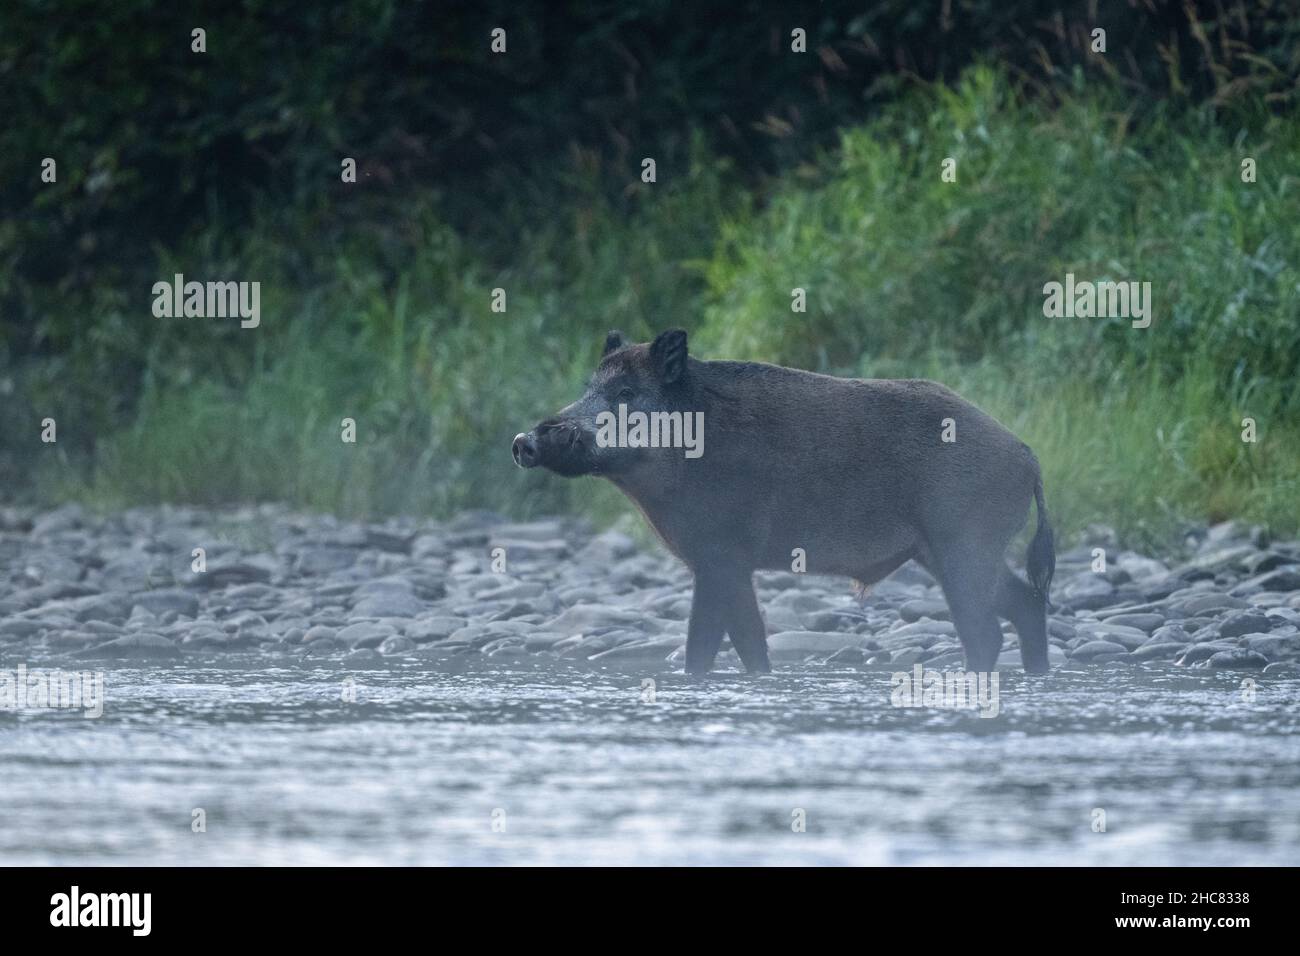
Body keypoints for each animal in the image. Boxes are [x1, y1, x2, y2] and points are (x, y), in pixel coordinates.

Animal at [512, 329, 1055, 675]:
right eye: (589, 387)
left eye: (626, 391)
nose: (524, 441)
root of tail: (1028, 455)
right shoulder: (723, 563)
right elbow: (748, 642)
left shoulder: (722, 555)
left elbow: (706, 644)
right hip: (945, 552)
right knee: (1026, 605)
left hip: (965, 542)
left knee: (987, 630)